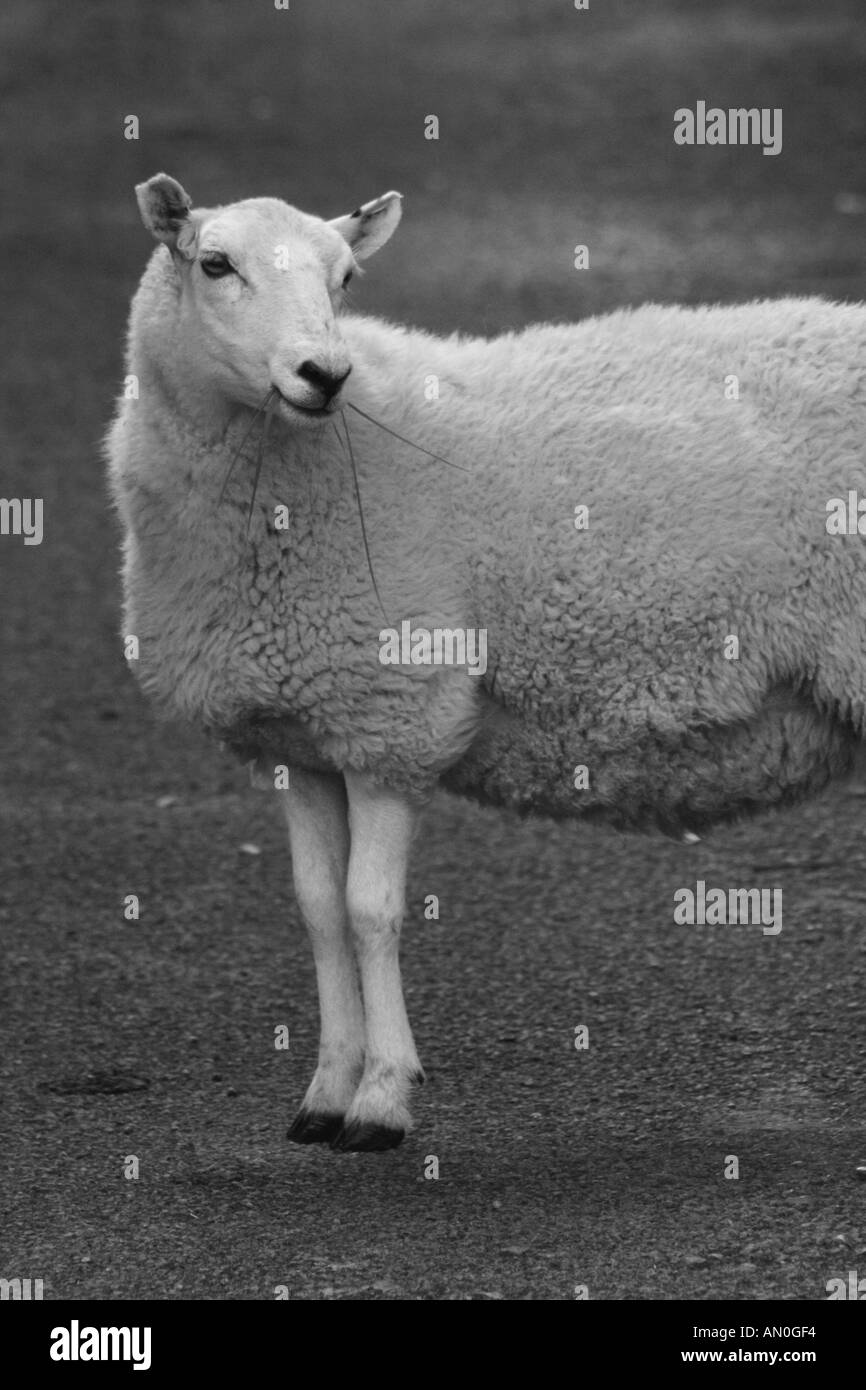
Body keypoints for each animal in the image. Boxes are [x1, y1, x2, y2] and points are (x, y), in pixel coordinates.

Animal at [108, 173, 866, 1152]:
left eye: (346, 278)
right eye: (214, 264)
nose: (323, 374)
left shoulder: (391, 712)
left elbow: (371, 912)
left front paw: (382, 1098)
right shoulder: (303, 734)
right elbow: (318, 910)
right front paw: (325, 1091)